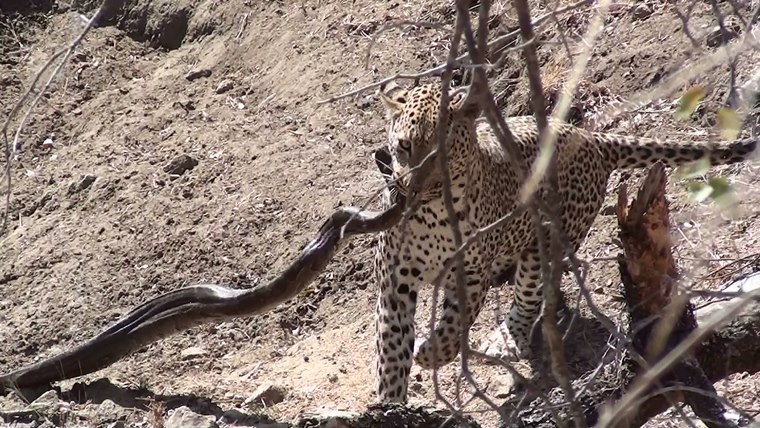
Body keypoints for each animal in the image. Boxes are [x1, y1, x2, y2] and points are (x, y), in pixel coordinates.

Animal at [371, 81, 758, 403]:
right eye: (405, 146)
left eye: (443, 151)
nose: (414, 186)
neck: (431, 213)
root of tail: (588, 136)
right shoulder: (394, 278)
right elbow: (392, 344)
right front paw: (390, 401)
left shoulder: (470, 276)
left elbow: (453, 328)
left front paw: (429, 352)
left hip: (548, 243)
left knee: (530, 296)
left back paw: (507, 338)